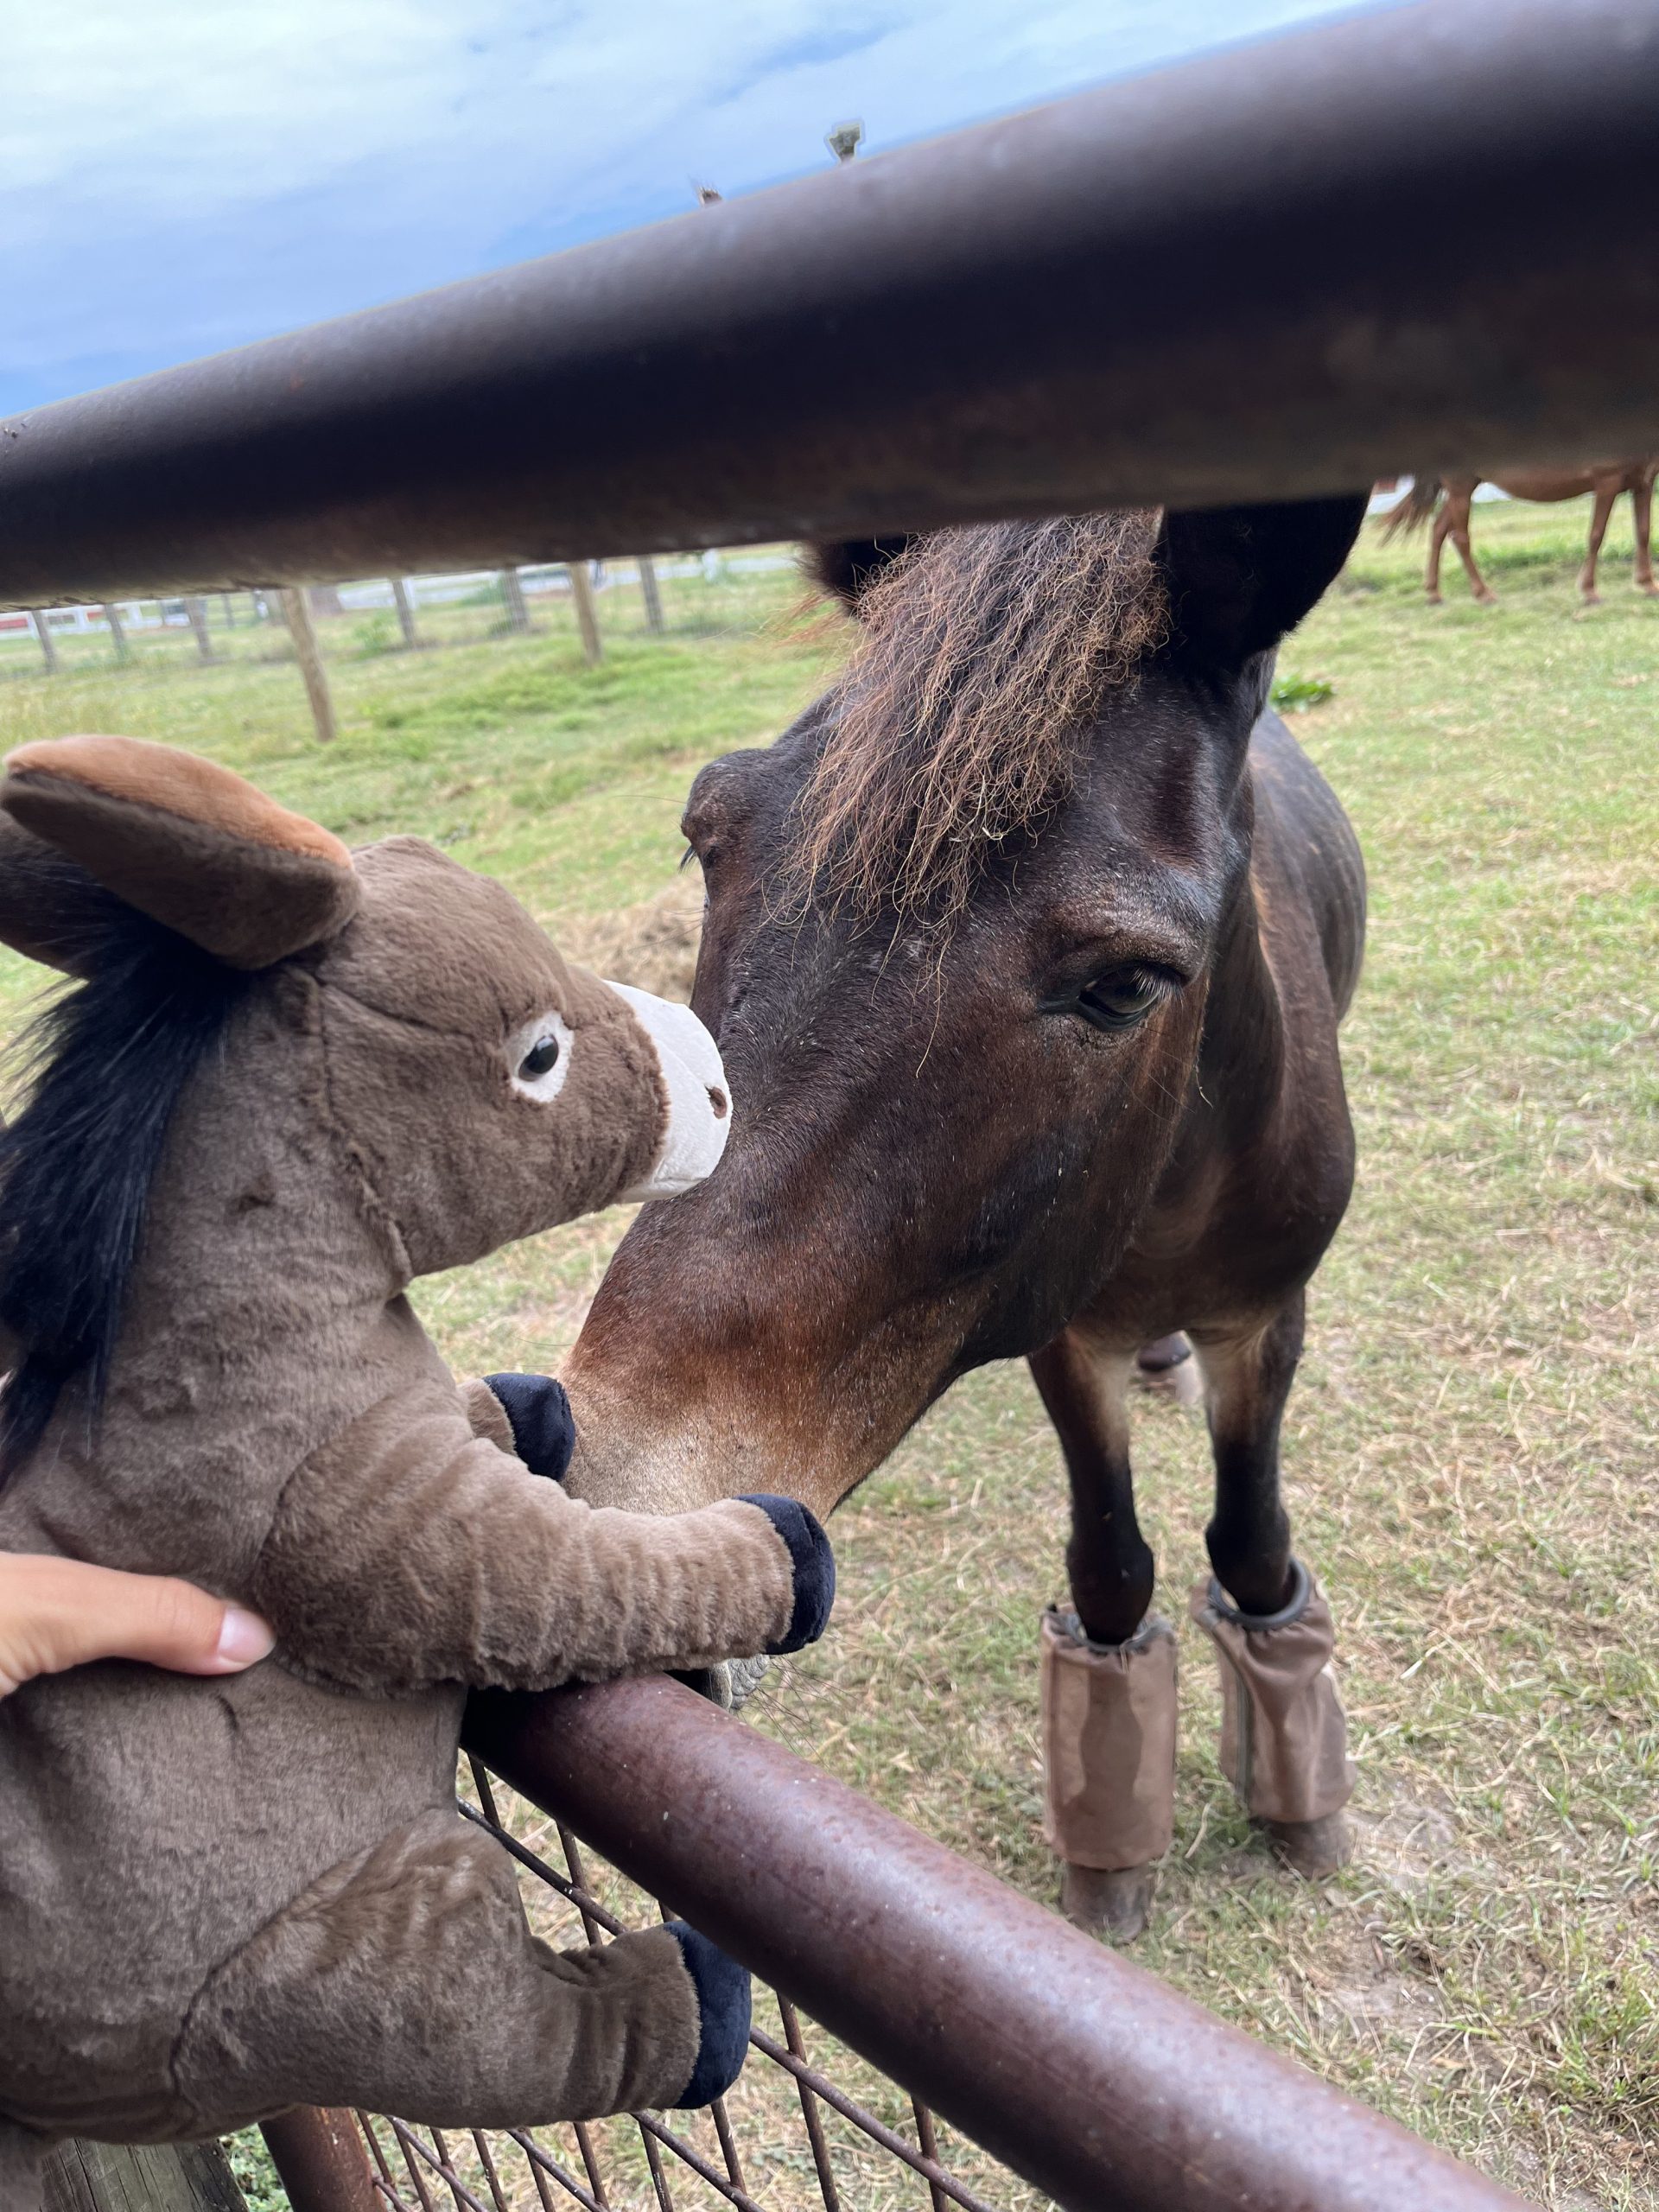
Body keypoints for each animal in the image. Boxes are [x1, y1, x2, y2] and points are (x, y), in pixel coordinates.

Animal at [562, 495, 1371, 1940]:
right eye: (707, 836)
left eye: (1126, 983)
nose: (622, 1532)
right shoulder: (1065, 1338)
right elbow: (1111, 1570)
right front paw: (1114, 1847)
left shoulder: (1265, 1317)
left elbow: (1250, 1547)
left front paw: (1298, 1804)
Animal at [1382, 462, 1658, 604]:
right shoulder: (1607, 482)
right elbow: (1596, 535)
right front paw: (1589, 590)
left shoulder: (1643, 483)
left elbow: (1643, 533)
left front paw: (1648, 584)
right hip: (1461, 488)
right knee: (1460, 538)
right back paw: (1484, 594)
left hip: (1465, 488)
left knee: (1439, 530)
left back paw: (1434, 593)